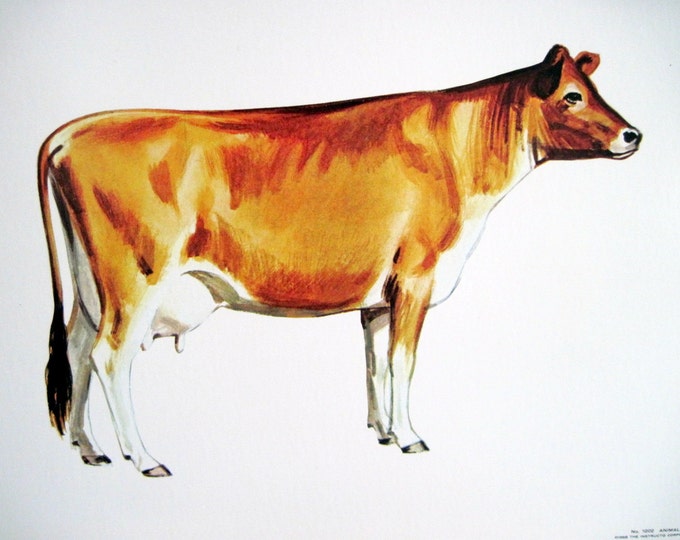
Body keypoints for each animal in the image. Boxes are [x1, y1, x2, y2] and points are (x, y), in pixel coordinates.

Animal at [39, 45, 641, 477]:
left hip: (91, 283)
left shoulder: (381, 295)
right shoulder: (418, 275)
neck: (460, 146)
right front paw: (411, 437)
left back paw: (88, 448)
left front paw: (384, 430)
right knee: (110, 357)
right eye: (571, 96)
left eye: (593, 89)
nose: (632, 134)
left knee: (76, 348)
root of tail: (73, 130)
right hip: (135, 276)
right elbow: (403, 361)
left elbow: (376, 361)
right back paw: (143, 458)